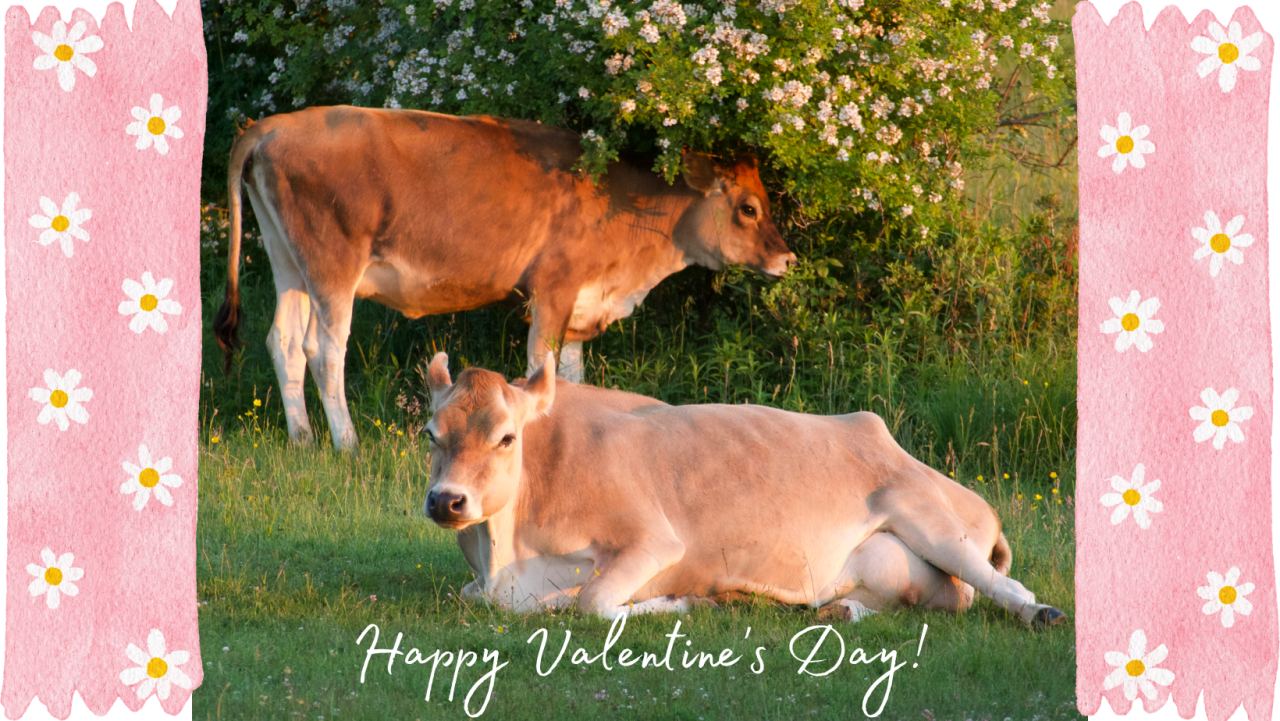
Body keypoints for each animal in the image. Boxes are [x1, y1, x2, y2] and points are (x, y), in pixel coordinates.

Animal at [212, 106, 795, 451]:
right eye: (747, 208)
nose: (787, 258)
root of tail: (272, 125)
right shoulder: (554, 289)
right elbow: (543, 367)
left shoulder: (581, 301)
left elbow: (573, 374)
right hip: (333, 266)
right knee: (325, 350)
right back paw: (347, 442)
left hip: (289, 262)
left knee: (284, 341)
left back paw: (302, 439)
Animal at [422, 352, 1068, 628]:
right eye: (431, 434)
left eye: (507, 437)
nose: (446, 500)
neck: (506, 553)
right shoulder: (482, 584)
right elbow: (472, 596)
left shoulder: (655, 541)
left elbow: (594, 602)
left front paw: (684, 602)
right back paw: (838, 609)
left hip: (927, 514)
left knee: (999, 585)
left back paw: (1041, 613)